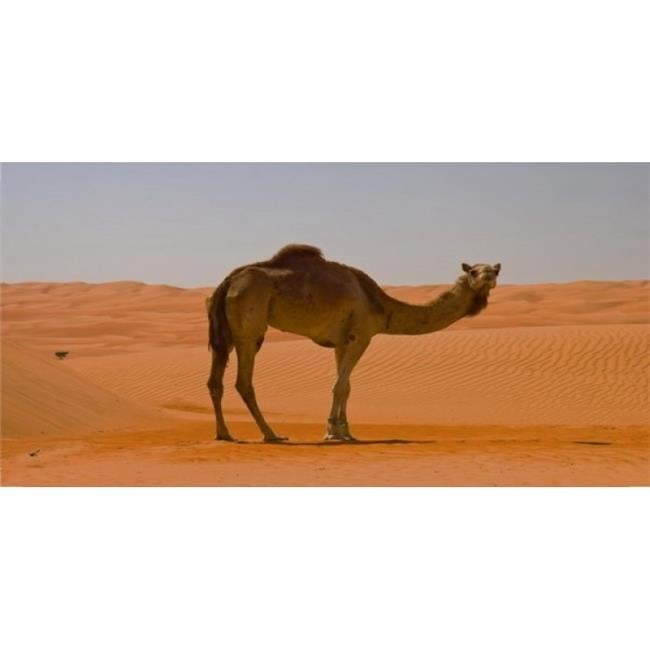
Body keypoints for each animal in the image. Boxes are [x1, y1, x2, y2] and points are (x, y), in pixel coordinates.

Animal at [206, 244, 501, 442]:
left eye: (494, 270)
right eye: (474, 271)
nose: (489, 275)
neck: (380, 305)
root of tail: (229, 281)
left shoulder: (341, 341)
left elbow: (345, 386)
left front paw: (344, 431)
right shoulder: (362, 335)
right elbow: (340, 386)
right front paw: (333, 432)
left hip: (225, 331)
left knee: (215, 380)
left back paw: (224, 434)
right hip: (250, 325)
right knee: (243, 381)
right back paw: (272, 434)